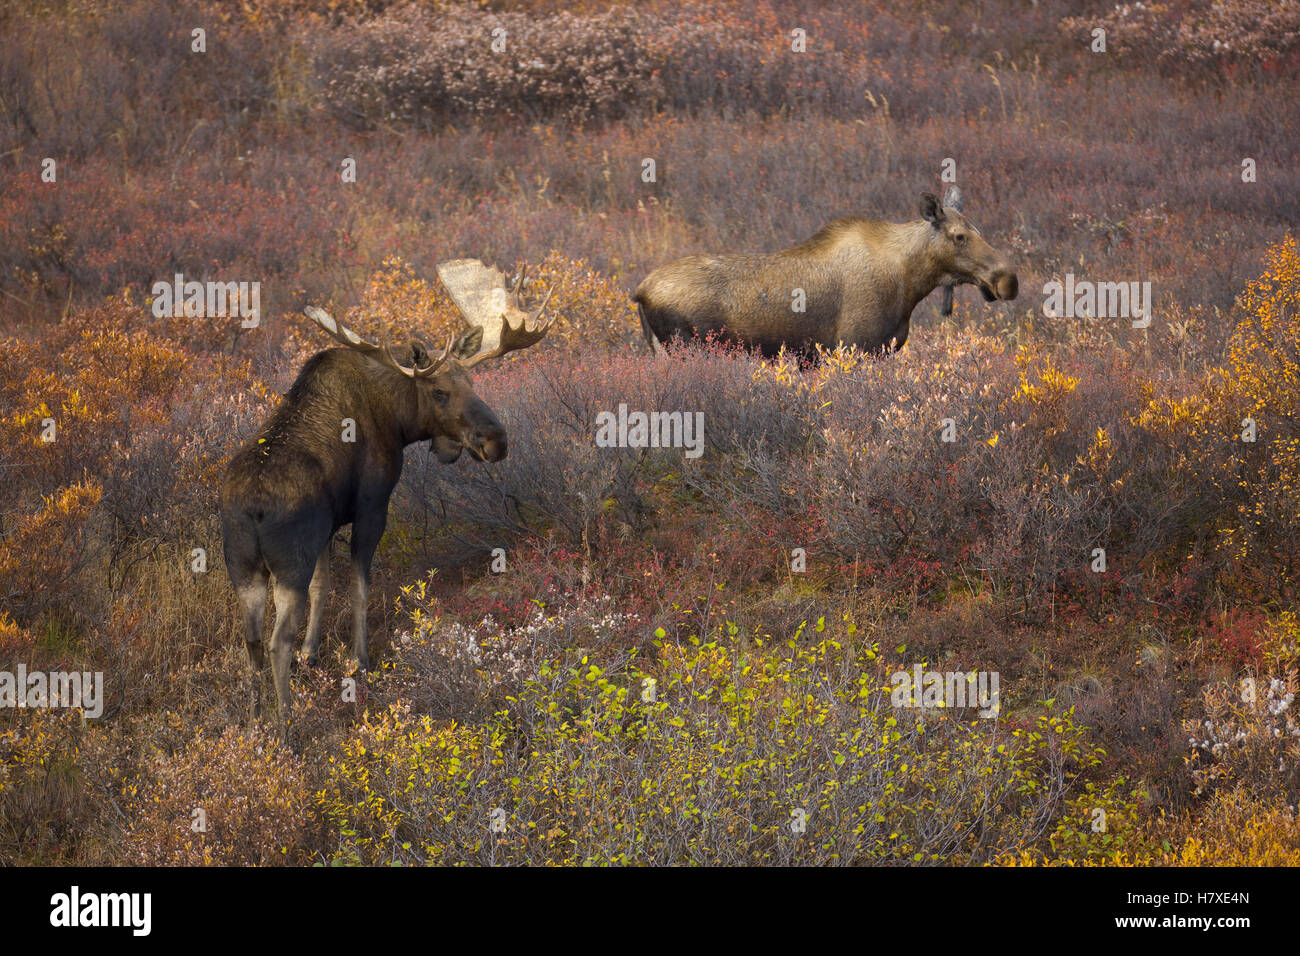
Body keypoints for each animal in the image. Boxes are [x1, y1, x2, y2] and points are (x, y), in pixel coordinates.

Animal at [219, 259, 553, 742]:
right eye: (439, 391)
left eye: (472, 381)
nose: (496, 441)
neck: (398, 421)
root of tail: (251, 509)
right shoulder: (371, 507)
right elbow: (360, 588)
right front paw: (359, 660)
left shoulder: (328, 527)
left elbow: (324, 586)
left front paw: (313, 653)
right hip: (287, 563)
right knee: (276, 640)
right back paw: (286, 724)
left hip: (243, 567)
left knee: (250, 640)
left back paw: (253, 721)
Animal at [635, 186, 1018, 360]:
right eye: (959, 236)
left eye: (978, 229)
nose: (1008, 280)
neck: (909, 284)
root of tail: (639, 291)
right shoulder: (856, 347)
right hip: (685, 348)